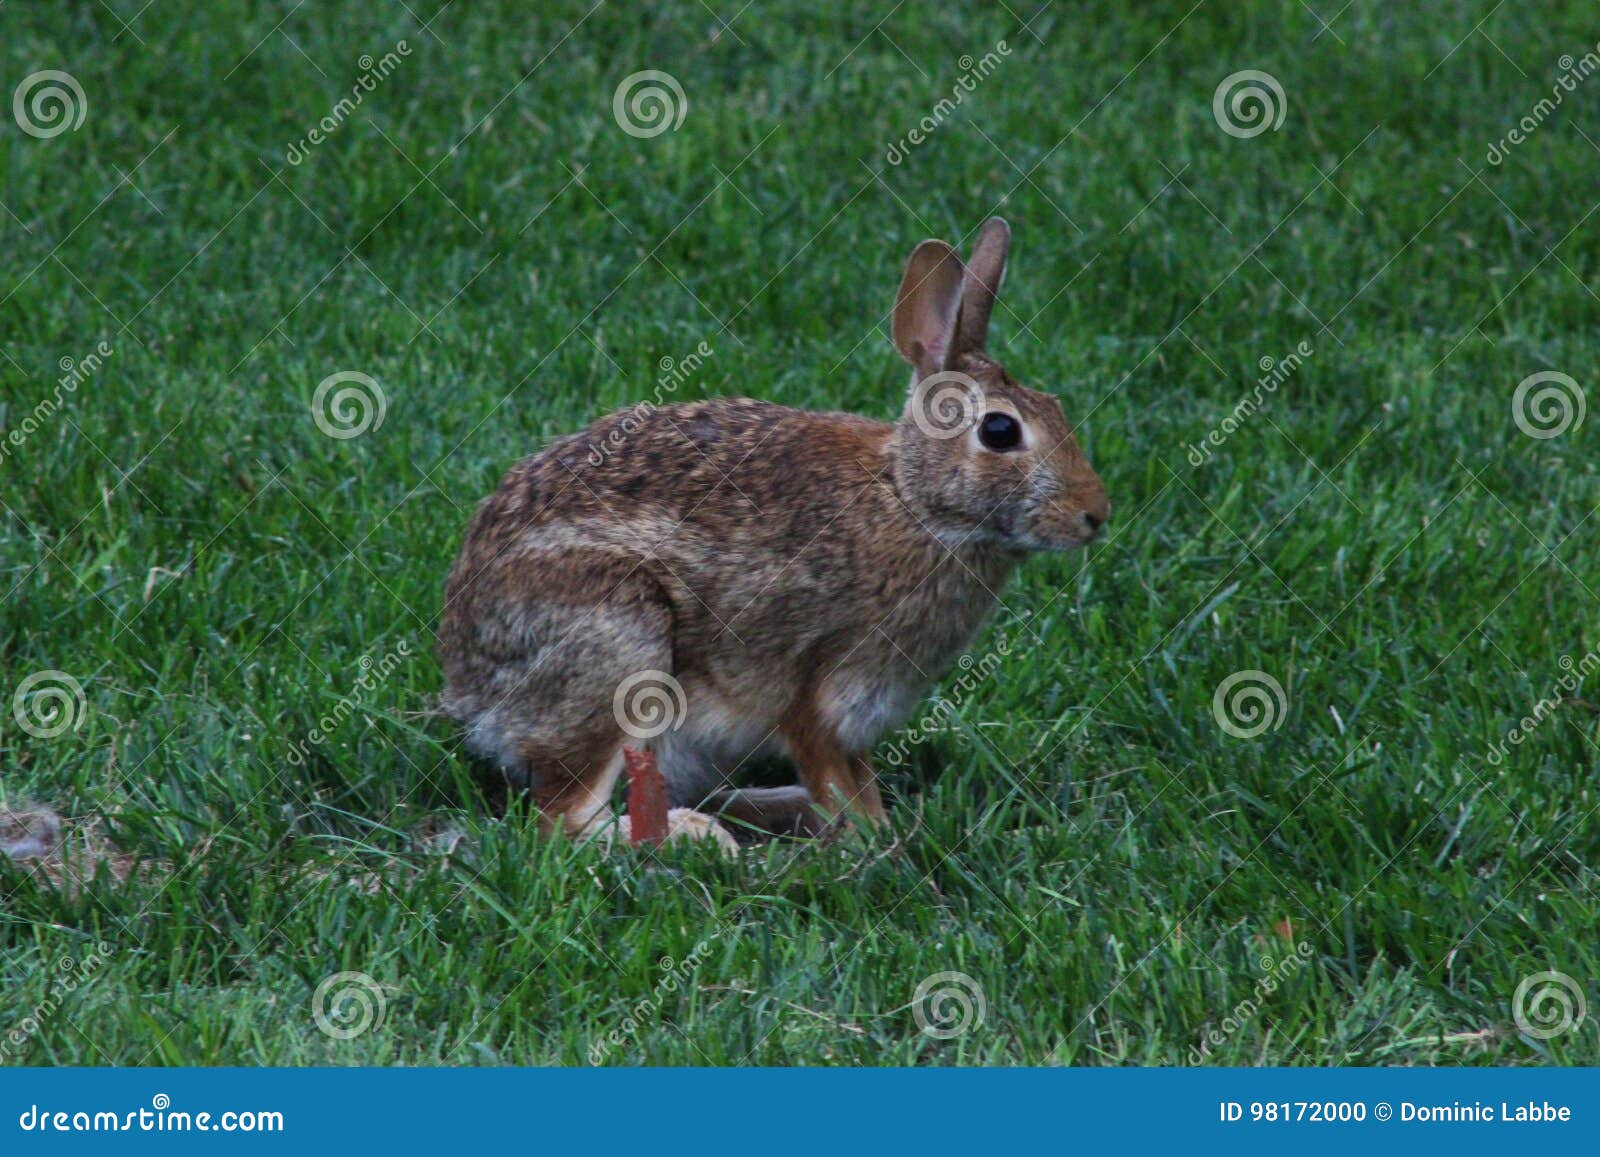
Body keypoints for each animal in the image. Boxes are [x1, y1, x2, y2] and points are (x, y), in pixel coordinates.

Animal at [437, 217, 1108, 842]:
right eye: (999, 431)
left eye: (1055, 407)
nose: (1095, 515)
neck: (912, 503)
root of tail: (469, 683)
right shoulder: (821, 689)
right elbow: (837, 778)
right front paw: (876, 838)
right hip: (620, 645)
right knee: (565, 820)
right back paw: (698, 840)